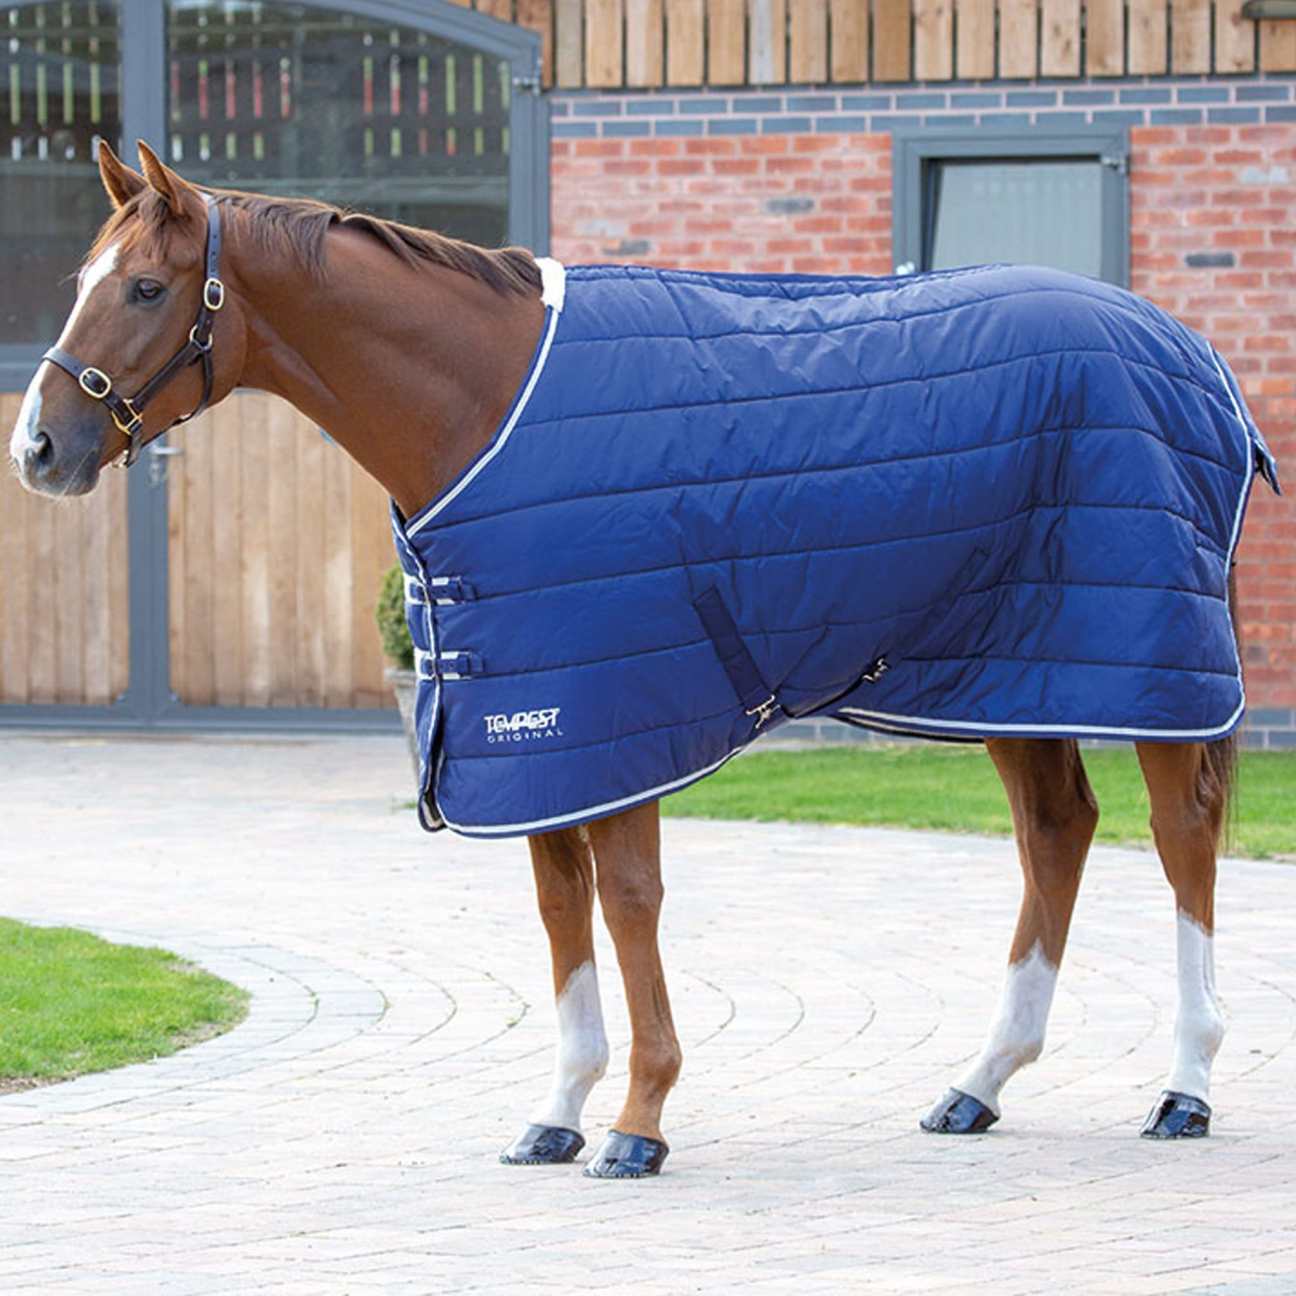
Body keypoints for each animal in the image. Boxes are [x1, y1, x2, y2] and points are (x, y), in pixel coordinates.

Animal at [8, 141, 1275, 1178]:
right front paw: (559, 1111)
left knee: (1182, 835)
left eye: (146, 287)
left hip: (1147, 666)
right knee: (1057, 829)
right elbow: (559, 907)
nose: (38, 448)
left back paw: (1187, 1086)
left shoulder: (616, 710)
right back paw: (980, 1083)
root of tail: (1192, 352)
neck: (490, 404)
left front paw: (639, 1120)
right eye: (79, 282)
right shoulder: (533, 729)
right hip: (1017, 668)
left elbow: (624, 905)